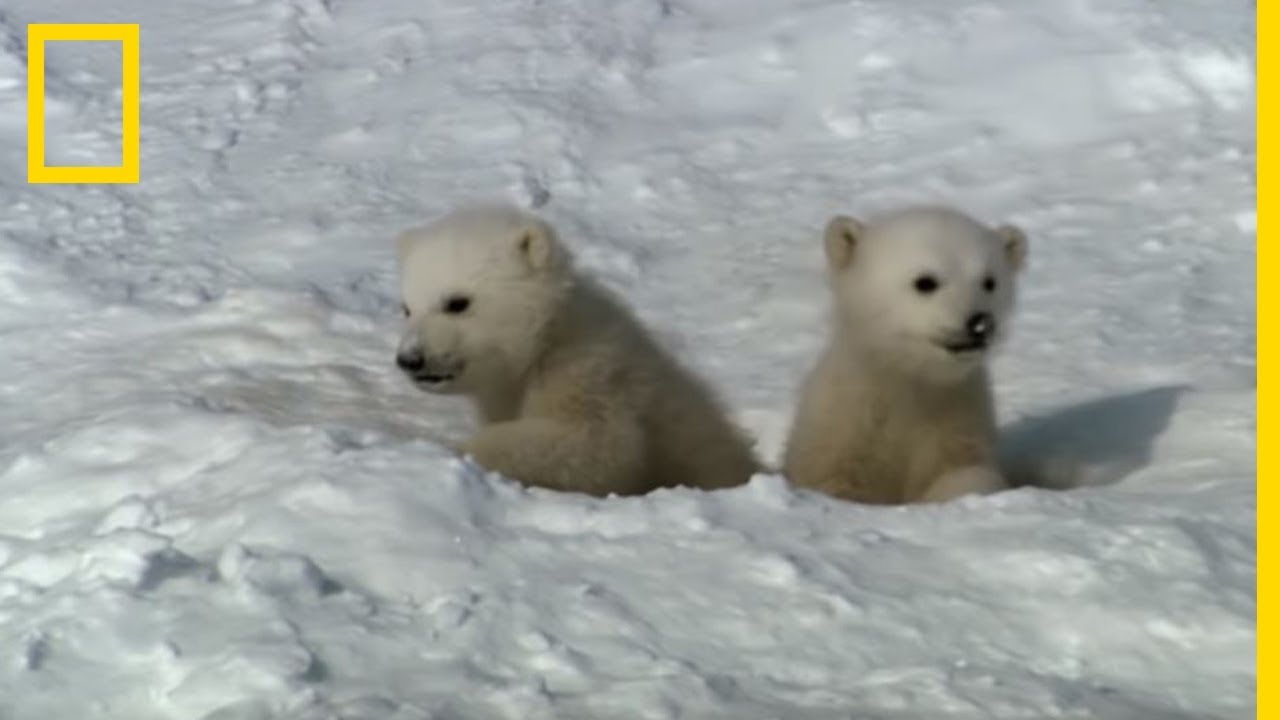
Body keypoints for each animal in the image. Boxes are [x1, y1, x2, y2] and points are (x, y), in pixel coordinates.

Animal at [394, 204, 762, 496]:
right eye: (407, 307)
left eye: (457, 302)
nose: (410, 359)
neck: (548, 336)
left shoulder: (589, 375)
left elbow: (600, 448)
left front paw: (465, 451)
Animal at [782, 205, 1028, 504]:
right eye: (925, 282)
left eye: (990, 281)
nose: (980, 323)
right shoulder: (842, 439)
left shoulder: (958, 429)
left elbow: (968, 474)